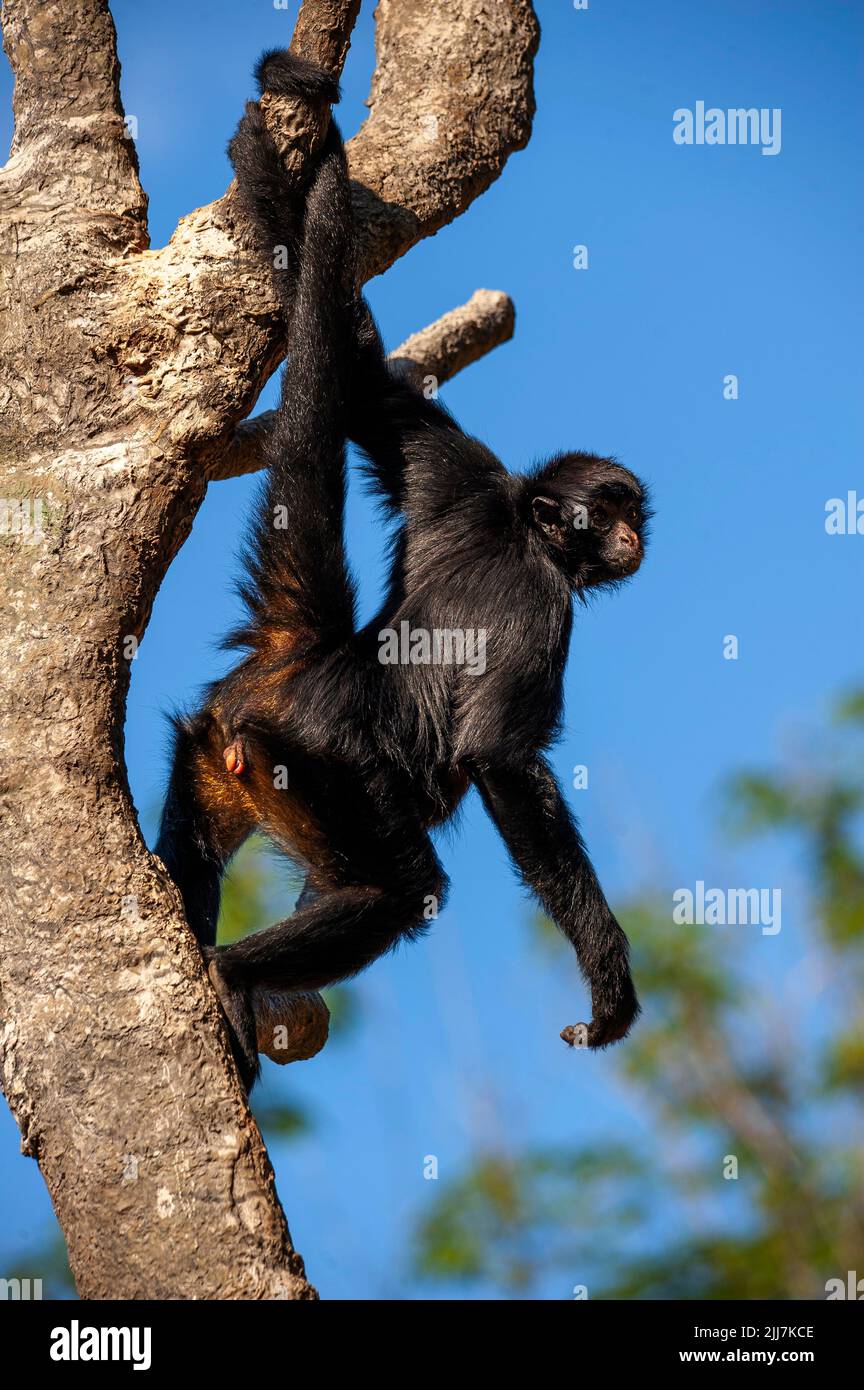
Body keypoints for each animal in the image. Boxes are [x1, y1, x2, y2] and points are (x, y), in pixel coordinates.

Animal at [156, 50, 652, 1090]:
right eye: (611, 511)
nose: (634, 535)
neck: (520, 522)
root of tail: (315, 660)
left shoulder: (461, 471)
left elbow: (359, 376)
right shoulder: (542, 603)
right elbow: (500, 757)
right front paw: (608, 981)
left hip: (219, 752)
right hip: (313, 761)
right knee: (402, 888)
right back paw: (231, 971)